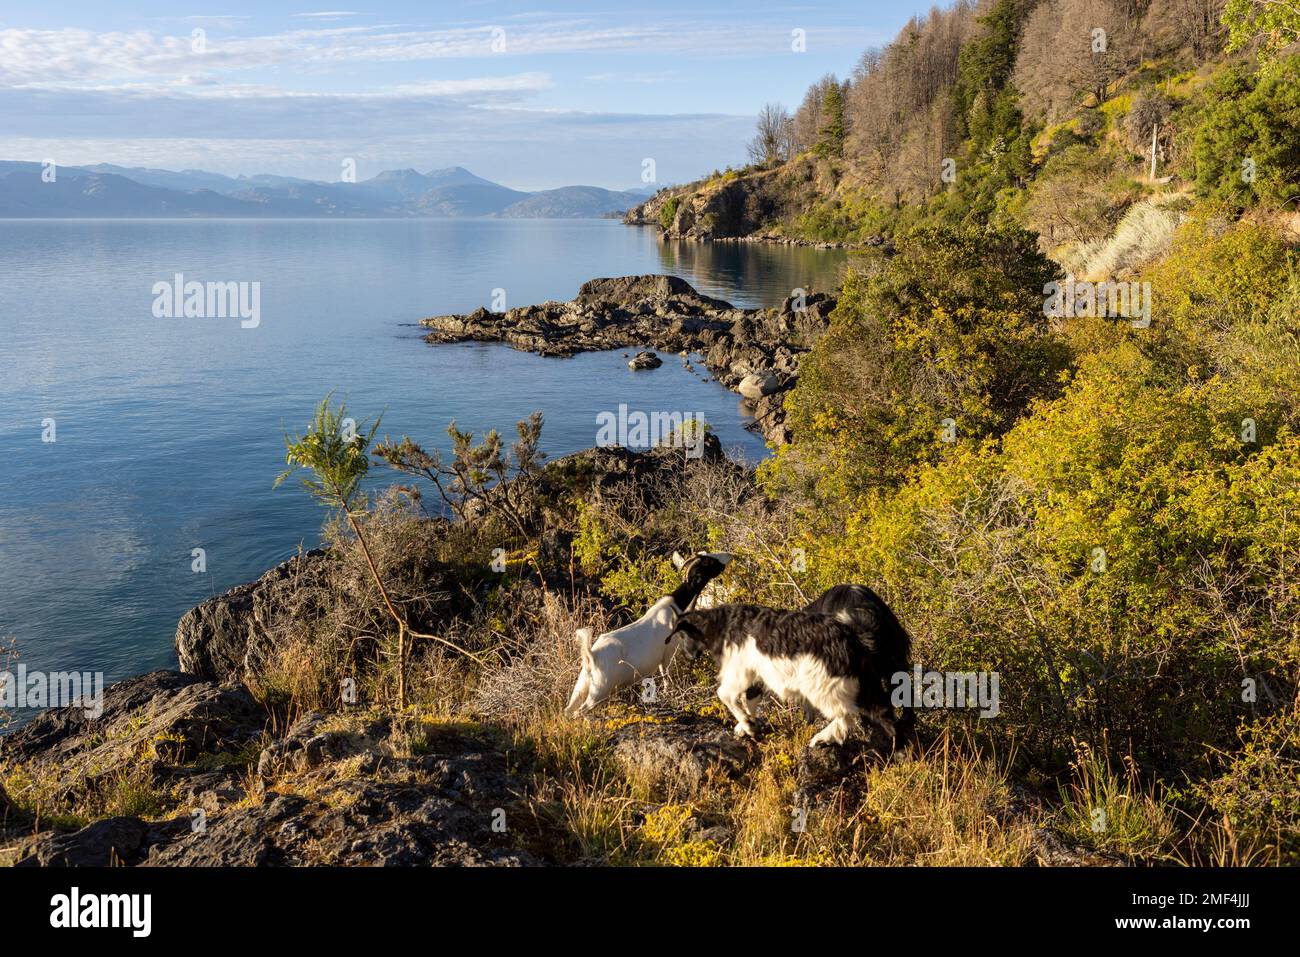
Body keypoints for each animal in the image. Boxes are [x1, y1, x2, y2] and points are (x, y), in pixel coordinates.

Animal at [564, 551, 731, 716]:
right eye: (709, 561)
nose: (728, 556)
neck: (676, 606)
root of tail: (592, 655)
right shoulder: (668, 654)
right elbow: (667, 677)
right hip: (601, 689)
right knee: (580, 711)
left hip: (583, 684)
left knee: (569, 709)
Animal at [667, 601, 908, 749]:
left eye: (682, 635)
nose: (688, 655)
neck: (724, 625)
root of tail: (854, 639)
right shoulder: (756, 675)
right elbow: (750, 699)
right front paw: (745, 727)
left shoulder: (739, 670)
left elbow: (725, 695)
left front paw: (748, 726)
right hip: (863, 683)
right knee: (883, 713)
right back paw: (897, 751)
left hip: (824, 685)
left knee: (845, 715)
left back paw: (821, 738)